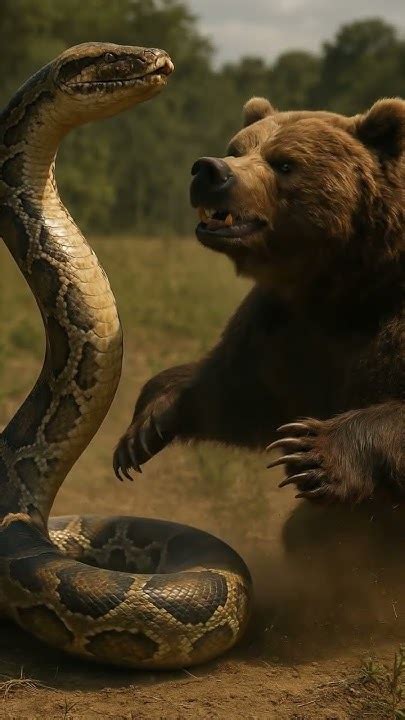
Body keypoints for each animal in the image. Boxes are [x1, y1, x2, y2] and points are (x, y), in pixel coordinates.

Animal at [113, 96, 405, 504]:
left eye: (284, 163)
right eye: (236, 149)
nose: (209, 170)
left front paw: (311, 451)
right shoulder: (281, 324)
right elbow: (238, 391)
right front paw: (144, 428)